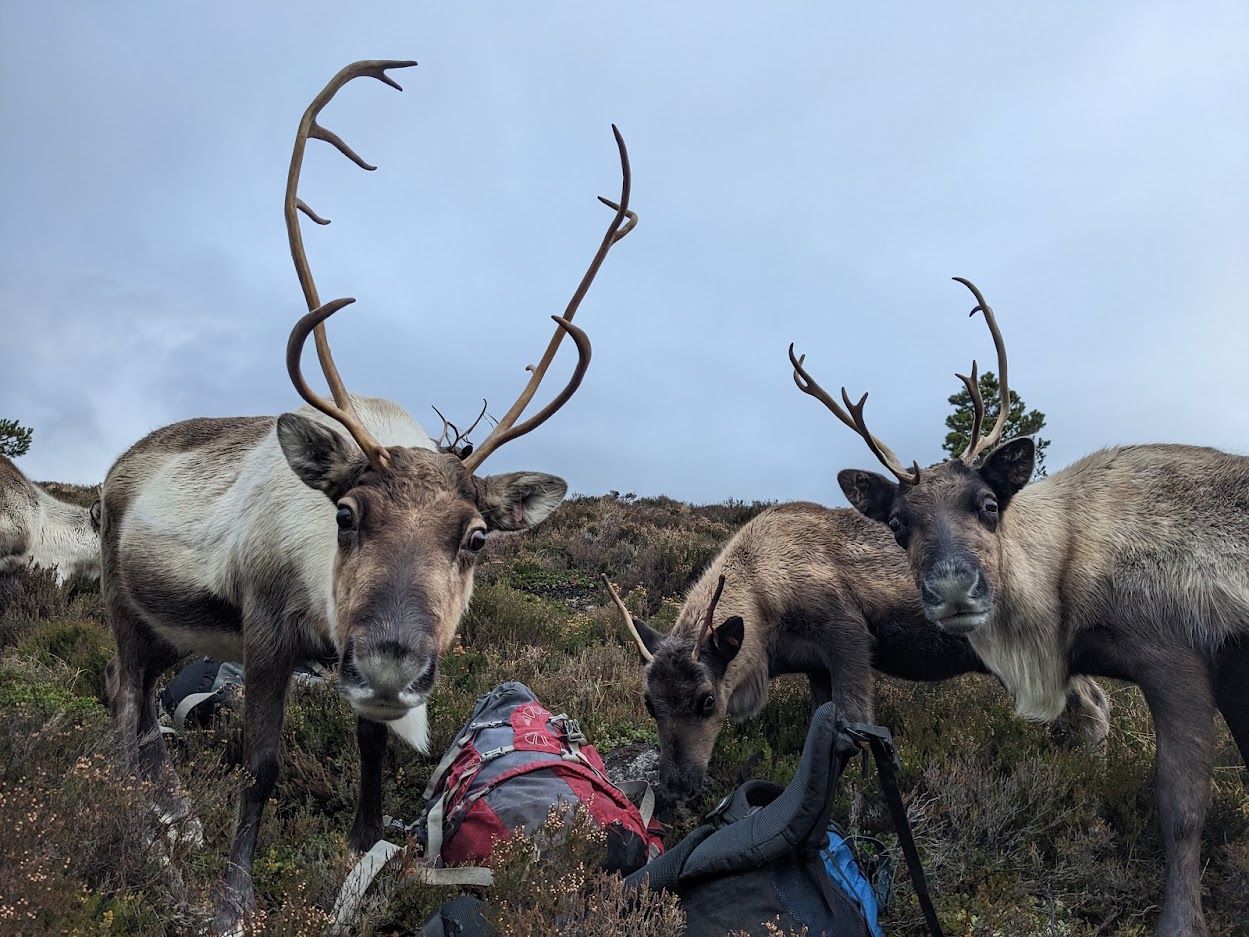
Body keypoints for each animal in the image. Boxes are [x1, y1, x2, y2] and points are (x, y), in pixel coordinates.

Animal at [98, 60, 635, 934]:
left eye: (476, 536)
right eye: (345, 514)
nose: (390, 658)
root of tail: (116, 468)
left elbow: (373, 752)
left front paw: (361, 846)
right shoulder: (267, 637)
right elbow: (261, 767)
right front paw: (231, 899)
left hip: (176, 633)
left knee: (143, 717)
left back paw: (175, 815)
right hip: (127, 612)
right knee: (126, 710)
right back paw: (151, 826)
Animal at [602, 501, 1111, 804]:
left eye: (707, 700)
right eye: (650, 703)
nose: (674, 789)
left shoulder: (848, 637)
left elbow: (856, 724)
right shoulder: (815, 666)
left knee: (1094, 701)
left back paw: (1090, 767)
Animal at [788, 277, 1249, 937]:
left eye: (987, 503)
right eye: (897, 525)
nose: (954, 590)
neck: (1063, 584)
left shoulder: (1178, 656)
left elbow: (1182, 806)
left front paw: (1181, 924)